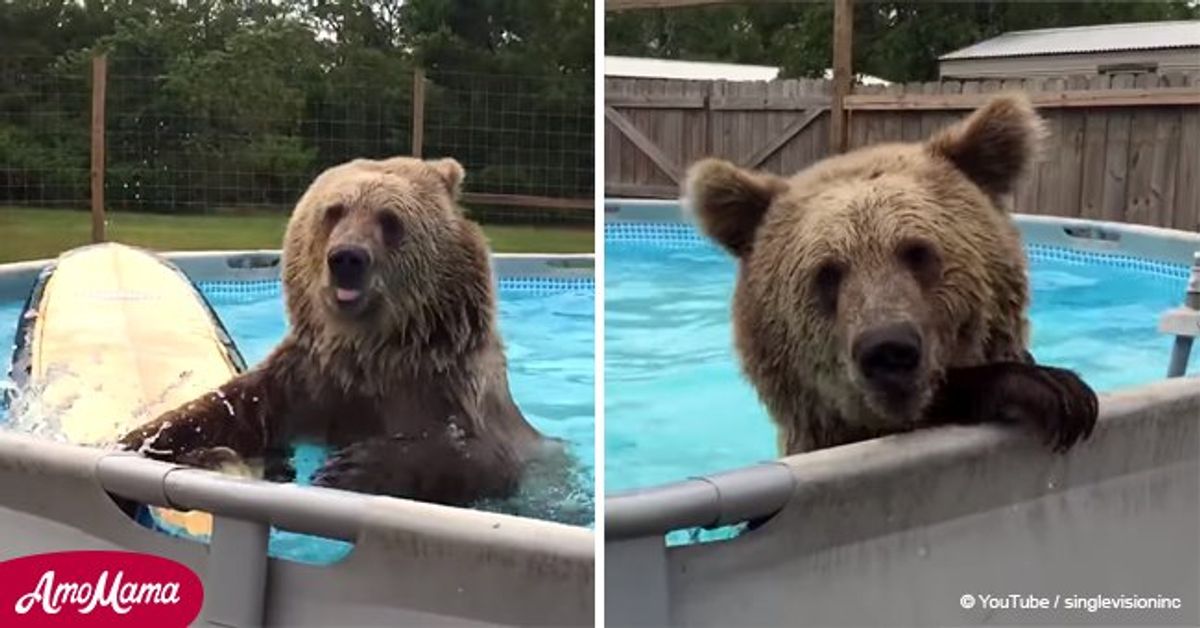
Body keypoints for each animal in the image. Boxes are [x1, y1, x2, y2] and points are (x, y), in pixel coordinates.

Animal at [118, 156, 552, 506]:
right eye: (334, 211)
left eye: (389, 220)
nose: (347, 258)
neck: (369, 351)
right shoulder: (304, 384)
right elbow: (221, 412)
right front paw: (137, 440)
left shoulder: (445, 387)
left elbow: (477, 456)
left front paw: (350, 467)